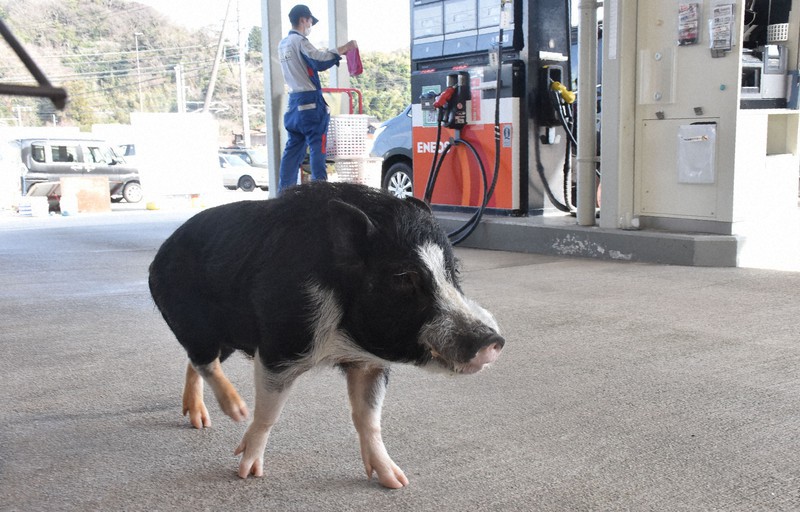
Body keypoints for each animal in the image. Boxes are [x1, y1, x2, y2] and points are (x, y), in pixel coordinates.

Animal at [148, 181, 504, 489]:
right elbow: (268, 413)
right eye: (403, 278)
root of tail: (159, 255)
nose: (493, 341)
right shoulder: (279, 349)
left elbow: (369, 418)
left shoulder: (368, 363)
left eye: (453, 270)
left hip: (228, 339)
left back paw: (199, 420)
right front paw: (247, 472)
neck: (339, 342)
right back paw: (235, 410)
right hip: (194, 322)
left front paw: (396, 482)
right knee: (202, 360)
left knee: (194, 362)